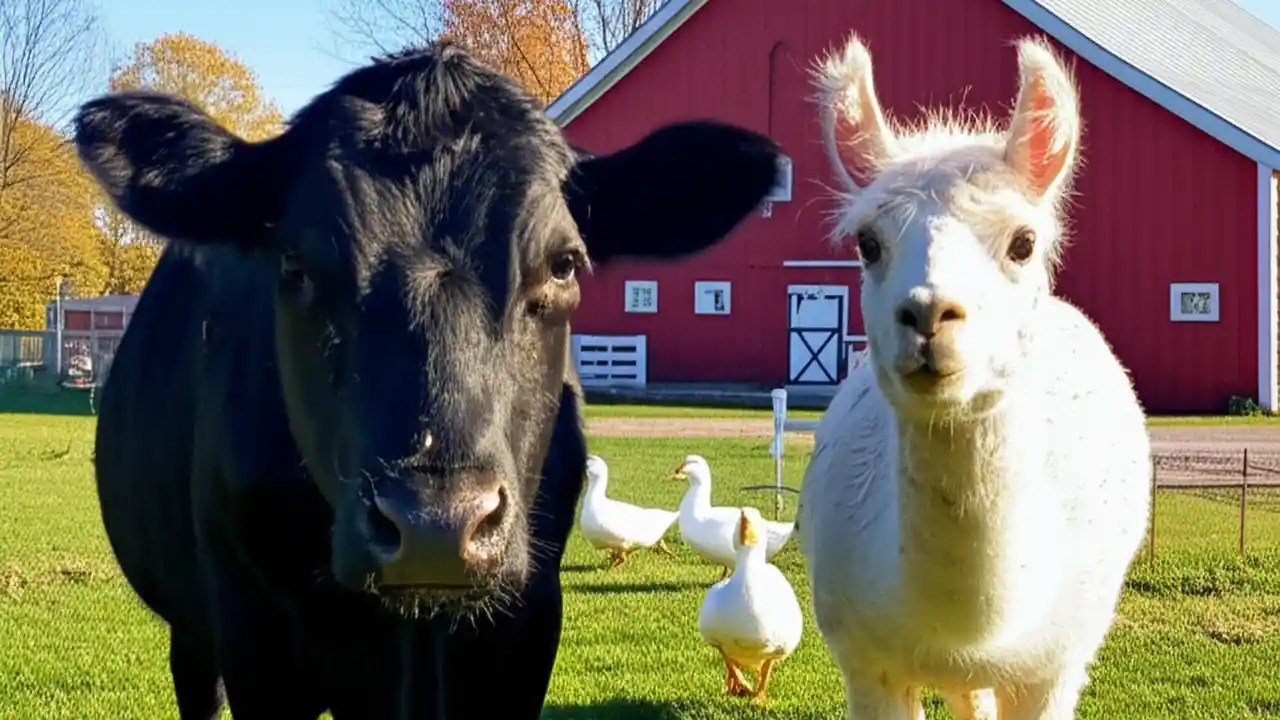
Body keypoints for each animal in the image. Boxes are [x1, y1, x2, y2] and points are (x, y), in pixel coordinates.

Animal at [76, 42, 781, 719]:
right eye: (297, 266)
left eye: (563, 262)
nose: (437, 526)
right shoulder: (255, 634)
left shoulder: (521, 631)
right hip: (192, 625)